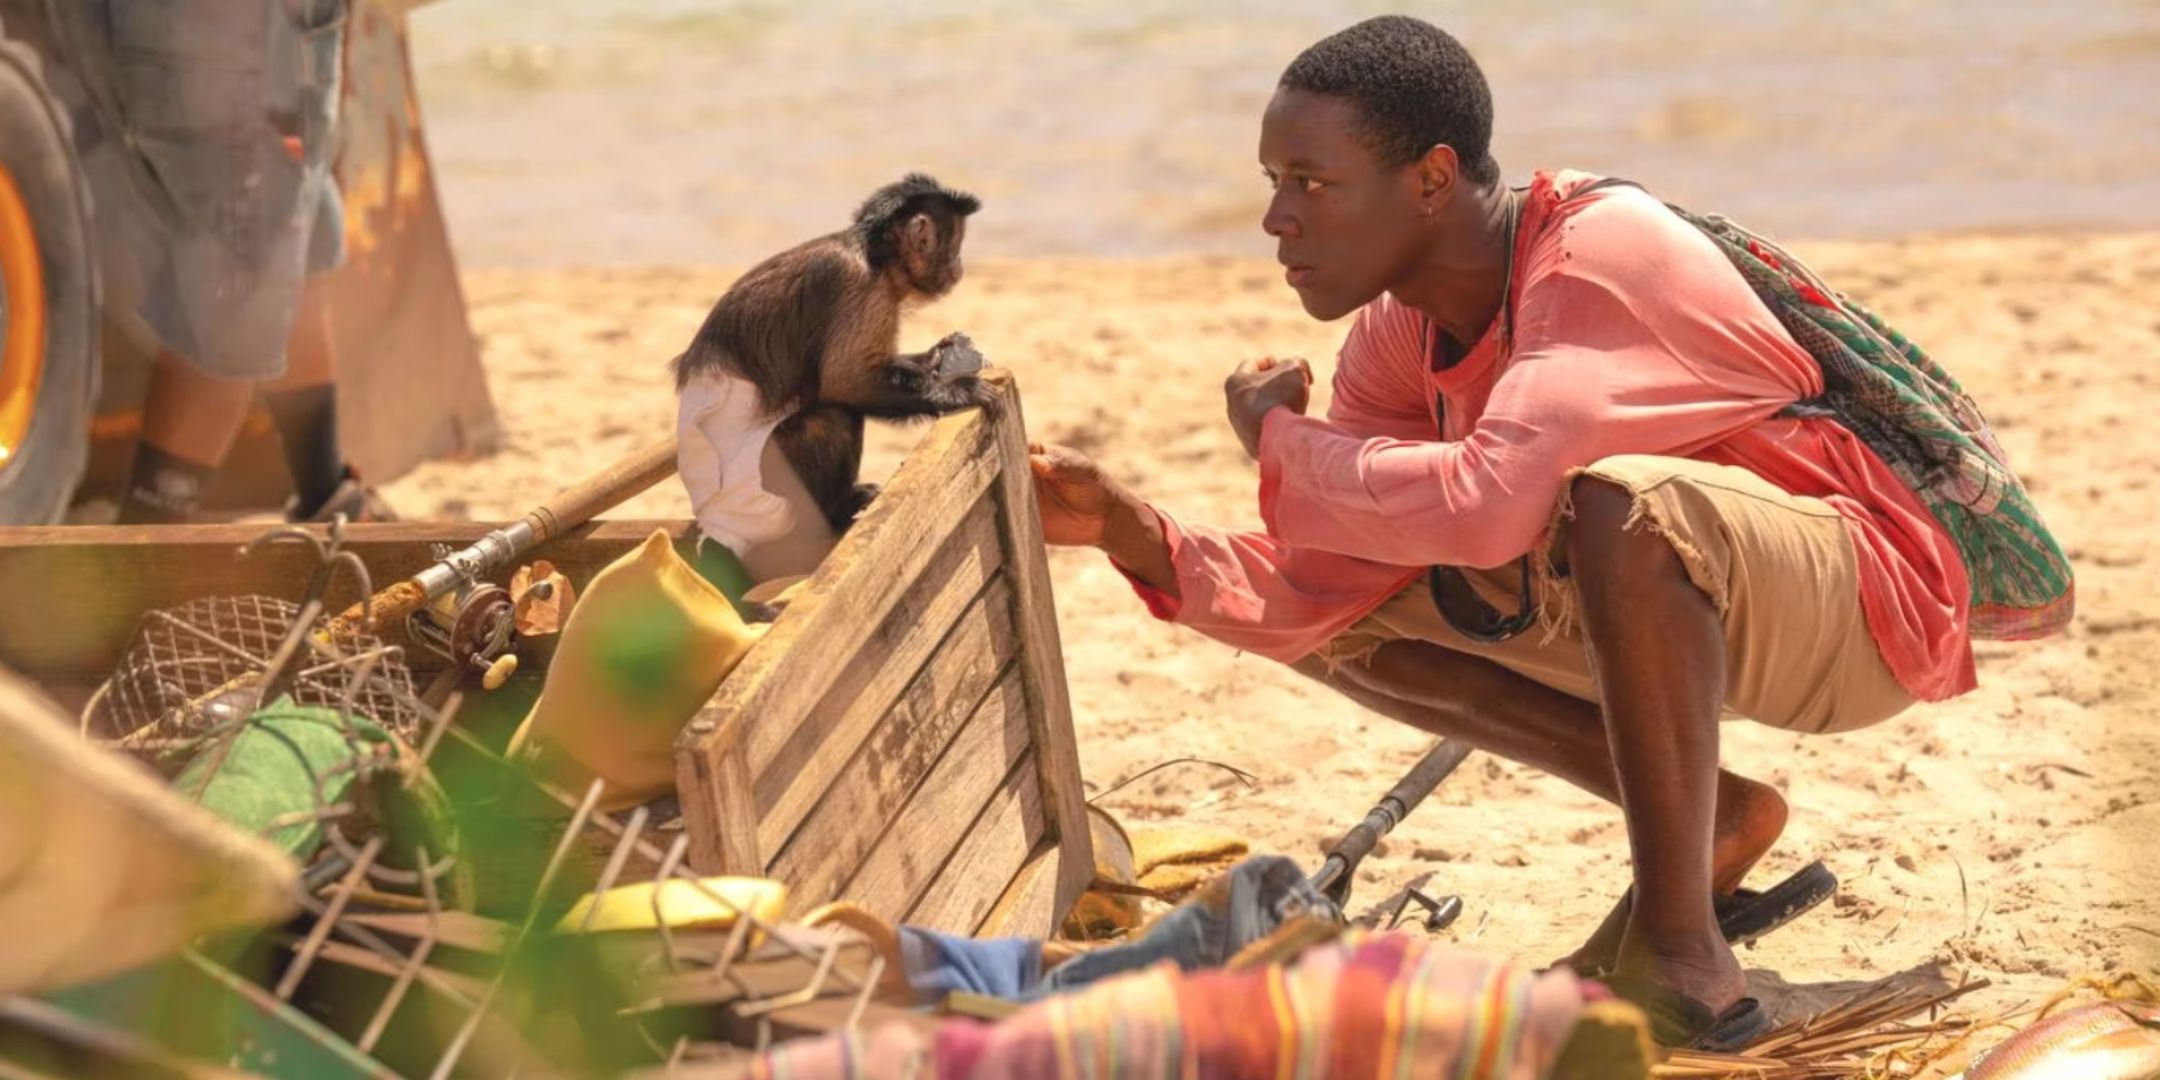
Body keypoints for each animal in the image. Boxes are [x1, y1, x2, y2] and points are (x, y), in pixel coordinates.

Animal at [670, 174, 992, 582]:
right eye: (954, 245)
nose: (960, 266)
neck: (875, 257)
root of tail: (716, 531)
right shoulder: (861, 287)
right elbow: (845, 382)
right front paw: (958, 390)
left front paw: (939, 356)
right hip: (768, 506)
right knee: (830, 417)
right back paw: (833, 516)